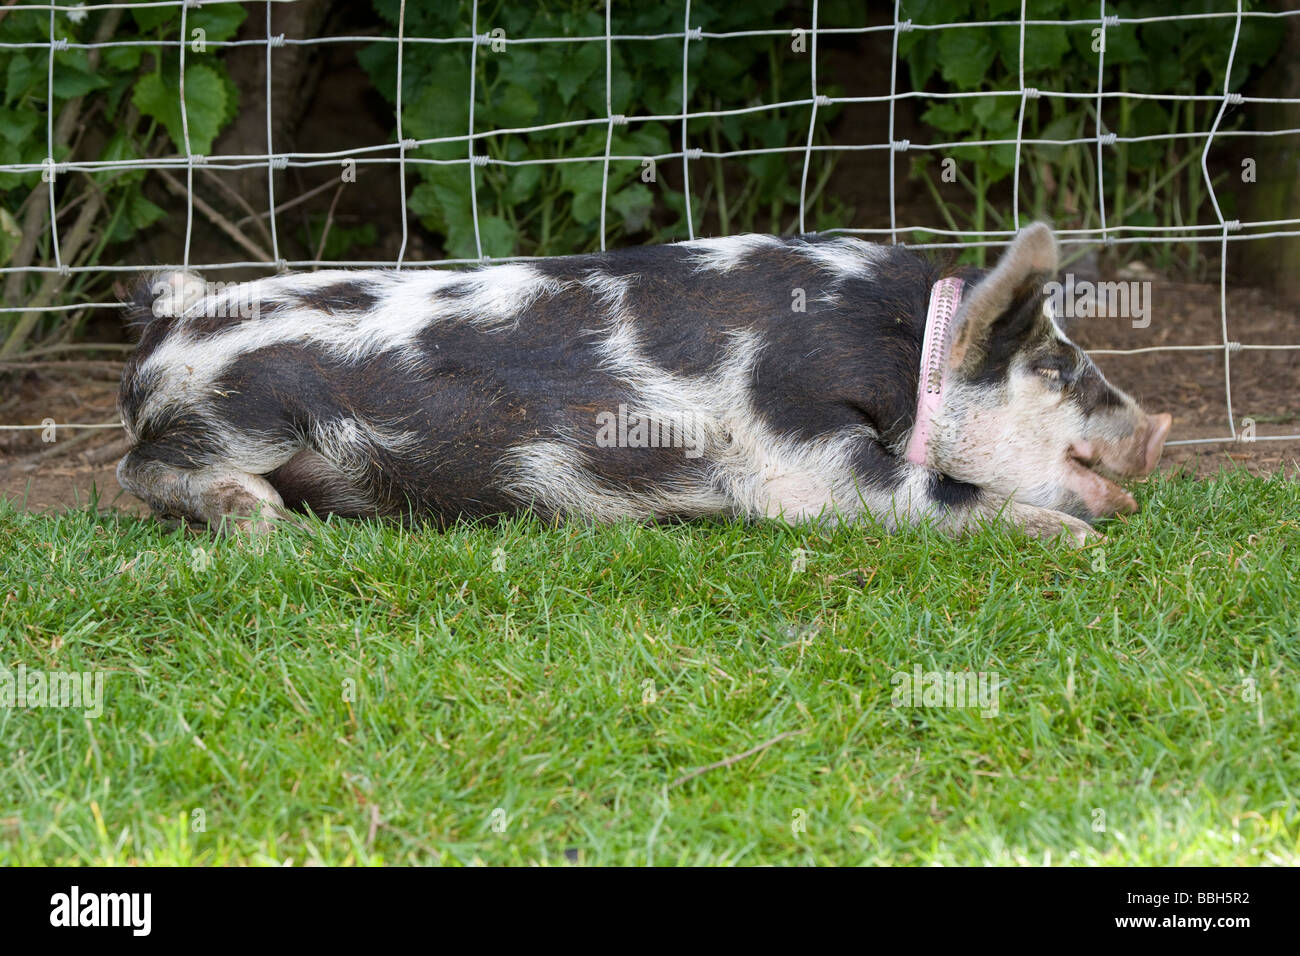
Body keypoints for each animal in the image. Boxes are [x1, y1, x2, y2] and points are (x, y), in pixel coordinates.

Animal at [115, 222, 1170, 545]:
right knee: (137, 474)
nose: (1159, 428)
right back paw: (261, 520)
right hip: (241, 410)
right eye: (1055, 364)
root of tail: (173, 317)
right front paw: (1080, 544)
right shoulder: (794, 449)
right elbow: (937, 493)